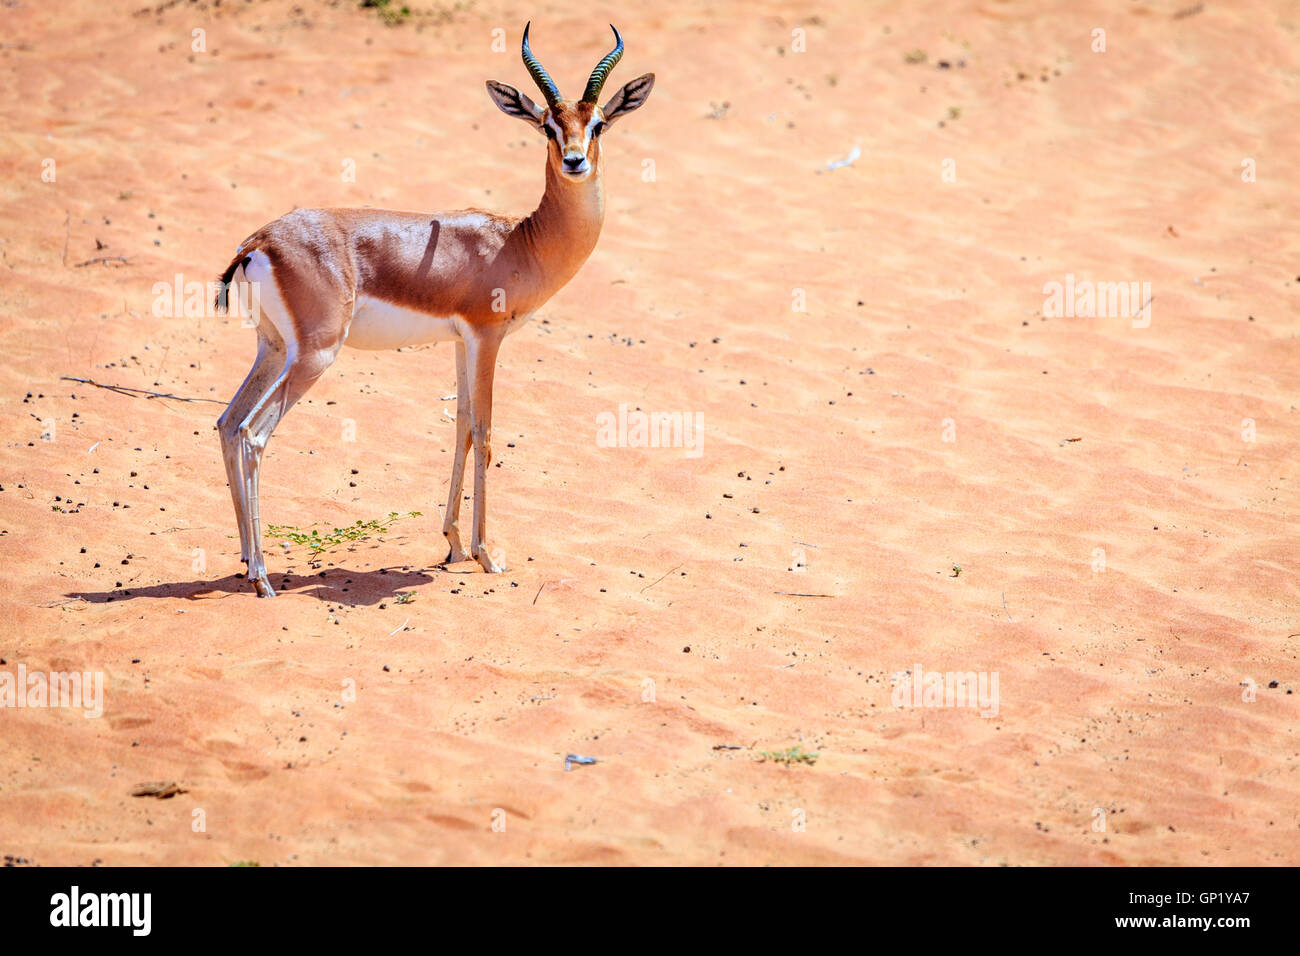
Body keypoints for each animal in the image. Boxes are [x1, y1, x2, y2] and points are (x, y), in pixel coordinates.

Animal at [212, 23, 654, 597]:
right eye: (547, 127)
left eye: (597, 124)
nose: (575, 161)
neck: (519, 241)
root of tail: (259, 242)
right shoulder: (488, 338)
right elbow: (485, 434)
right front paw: (487, 555)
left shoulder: (461, 342)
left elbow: (461, 427)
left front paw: (454, 546)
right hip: (313, 356)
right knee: (253, 433)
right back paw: (263, 578)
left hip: (272, 347)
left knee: (227, 423)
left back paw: (246, 560)